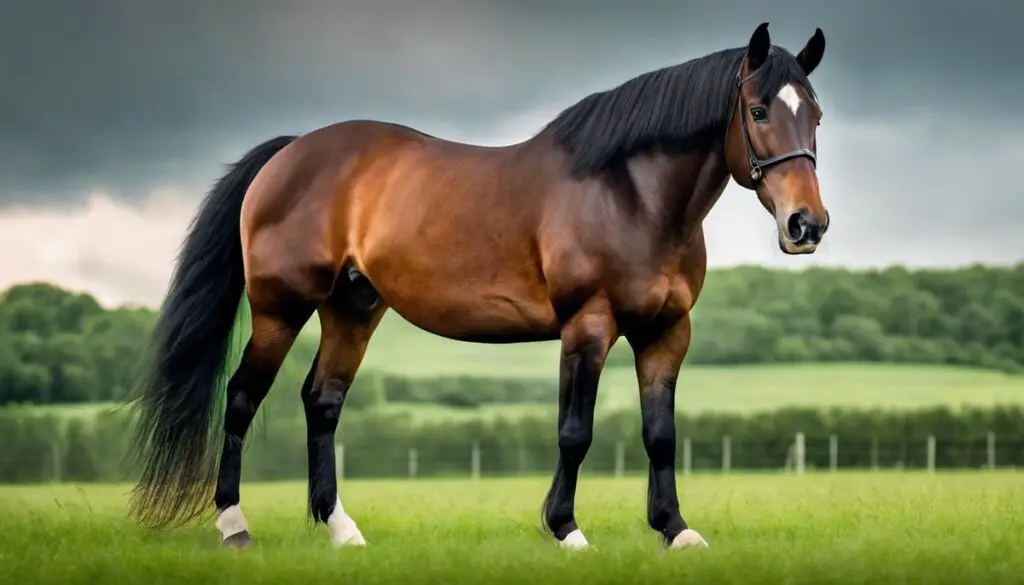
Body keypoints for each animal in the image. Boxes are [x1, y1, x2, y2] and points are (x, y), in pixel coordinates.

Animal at [126, 22, 829, 551]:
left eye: (816, 115)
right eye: (758, 111)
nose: (807, 224)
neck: (630, 195)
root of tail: (290, 153)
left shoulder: (666, 333)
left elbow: (661, 435)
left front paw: (675, 530)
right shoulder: (588, 326)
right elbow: (575, 432)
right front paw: (566, 530)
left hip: (352, 309)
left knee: (322, 402)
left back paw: (341, 529)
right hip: (280, 307)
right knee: (242, 399)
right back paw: (233, 525)